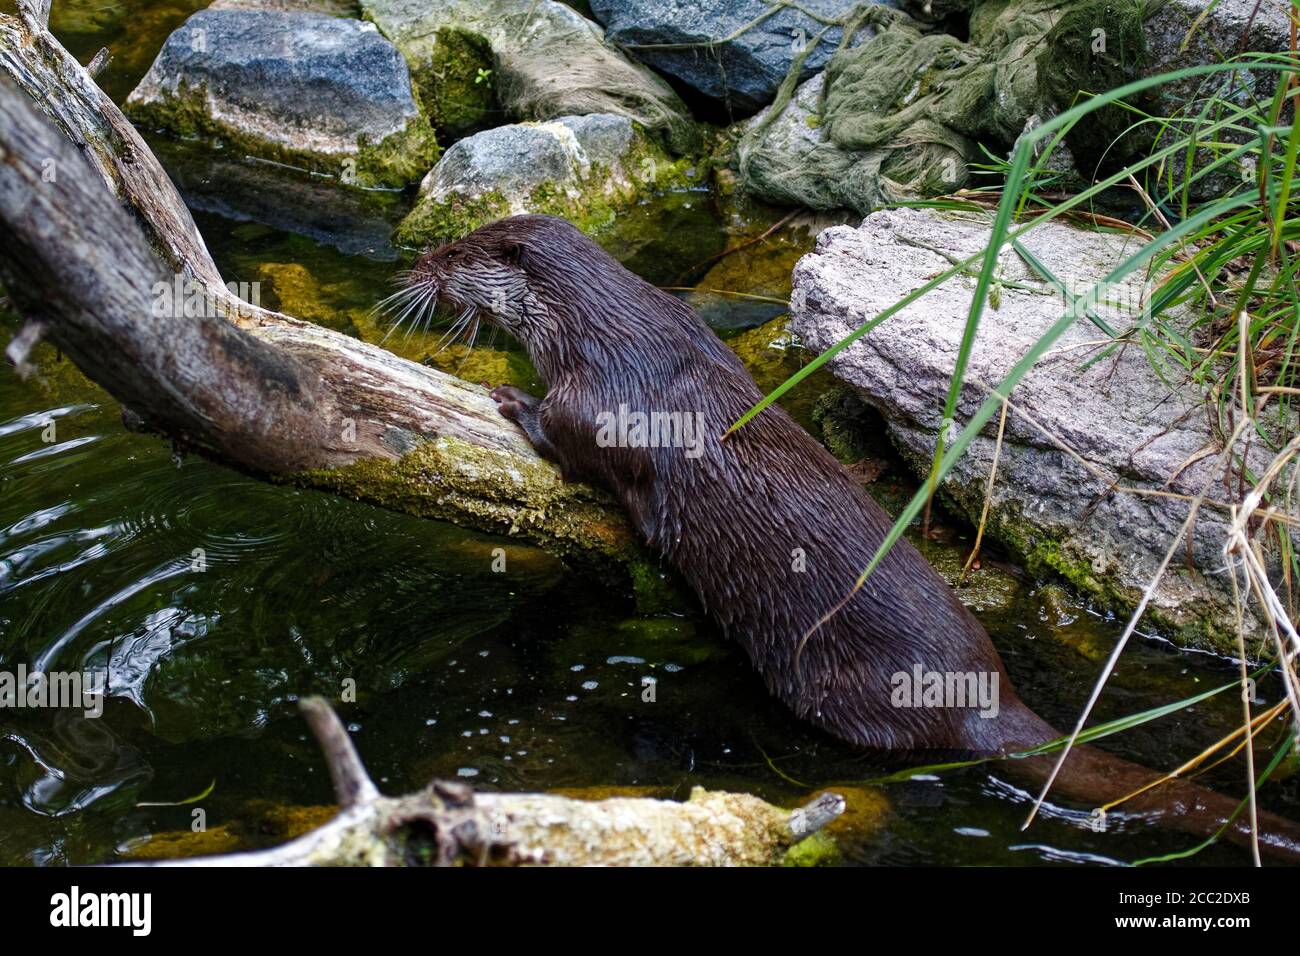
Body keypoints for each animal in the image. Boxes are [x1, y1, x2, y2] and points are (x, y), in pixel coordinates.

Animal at [406, 214, 1300, 861]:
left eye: (452, 250)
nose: (415, 263)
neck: (601, 330)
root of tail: (986, 696)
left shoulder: (606, 398)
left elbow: (572, 439)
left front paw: (511, 402)